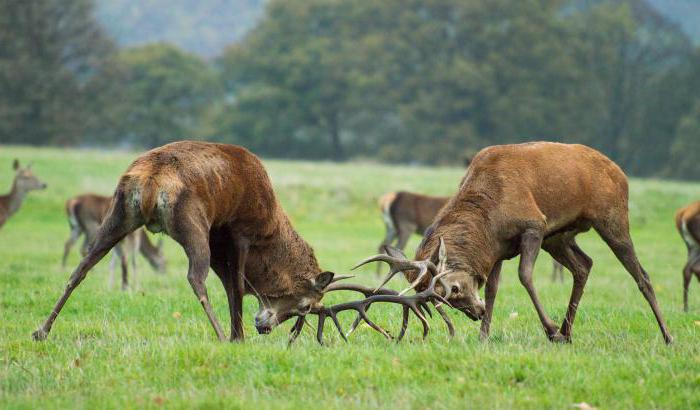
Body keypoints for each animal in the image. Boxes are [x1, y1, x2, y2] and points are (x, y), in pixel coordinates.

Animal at [358, 143, 676, 344]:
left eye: (453, 290)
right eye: (441, 302)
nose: (475, 315)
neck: (489, 217)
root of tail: (621, 172)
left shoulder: (534, 225)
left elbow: (525, 275)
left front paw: (549, 330)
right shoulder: (497, 249)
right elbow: (493, 289)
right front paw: (484, 336)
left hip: (611, 217)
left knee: (642, 275)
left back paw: (668, 336)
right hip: (559, 237)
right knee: (584, 265)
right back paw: (568, 331)